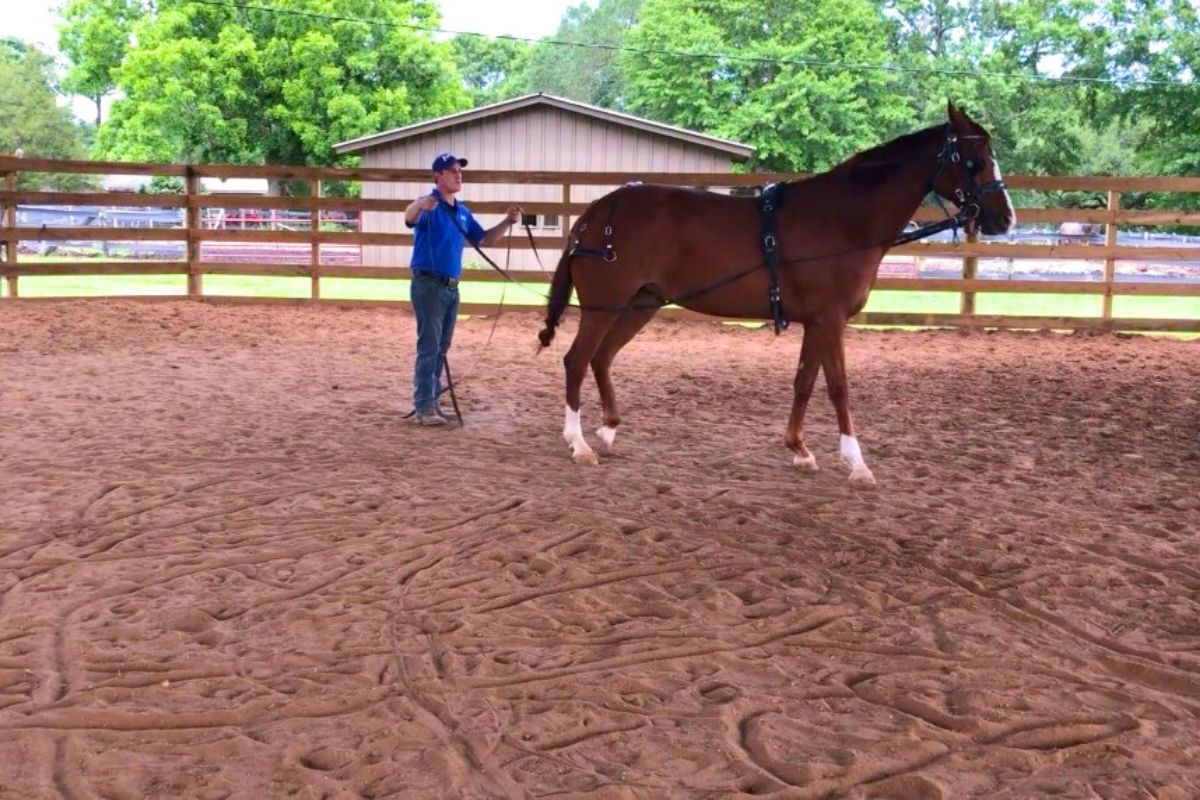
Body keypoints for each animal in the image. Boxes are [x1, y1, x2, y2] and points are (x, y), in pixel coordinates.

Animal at [537, 102, 1015, 485]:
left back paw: (608, 429)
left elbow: (804, 382)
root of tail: (596, 213)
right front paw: (857, 464)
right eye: (975, 160)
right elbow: (838, 387)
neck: (843, 220)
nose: (1004, 218)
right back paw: (579, 444)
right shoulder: (830, 321)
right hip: (604, 306)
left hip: (641, 303)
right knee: (577, 360)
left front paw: (799, 449)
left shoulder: (816, 323)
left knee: (601, 358)